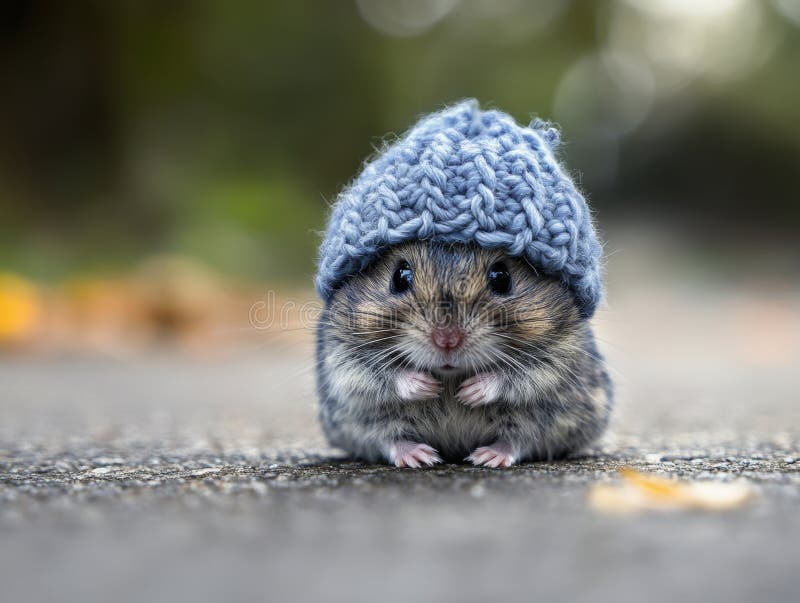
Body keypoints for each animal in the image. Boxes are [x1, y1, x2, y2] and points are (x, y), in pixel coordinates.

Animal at [316, 240, 612, 468]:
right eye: (400, 277)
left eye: (502, 277)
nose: (447, 341)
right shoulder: (344, 357)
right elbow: (382, 375)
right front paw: (427, 386)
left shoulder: (558, 356)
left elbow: (516, 375)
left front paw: (470, 392)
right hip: (361, 420)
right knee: (386, 438)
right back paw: (419, 456)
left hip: (546, 419)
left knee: (522, 439)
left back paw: (489, 457)